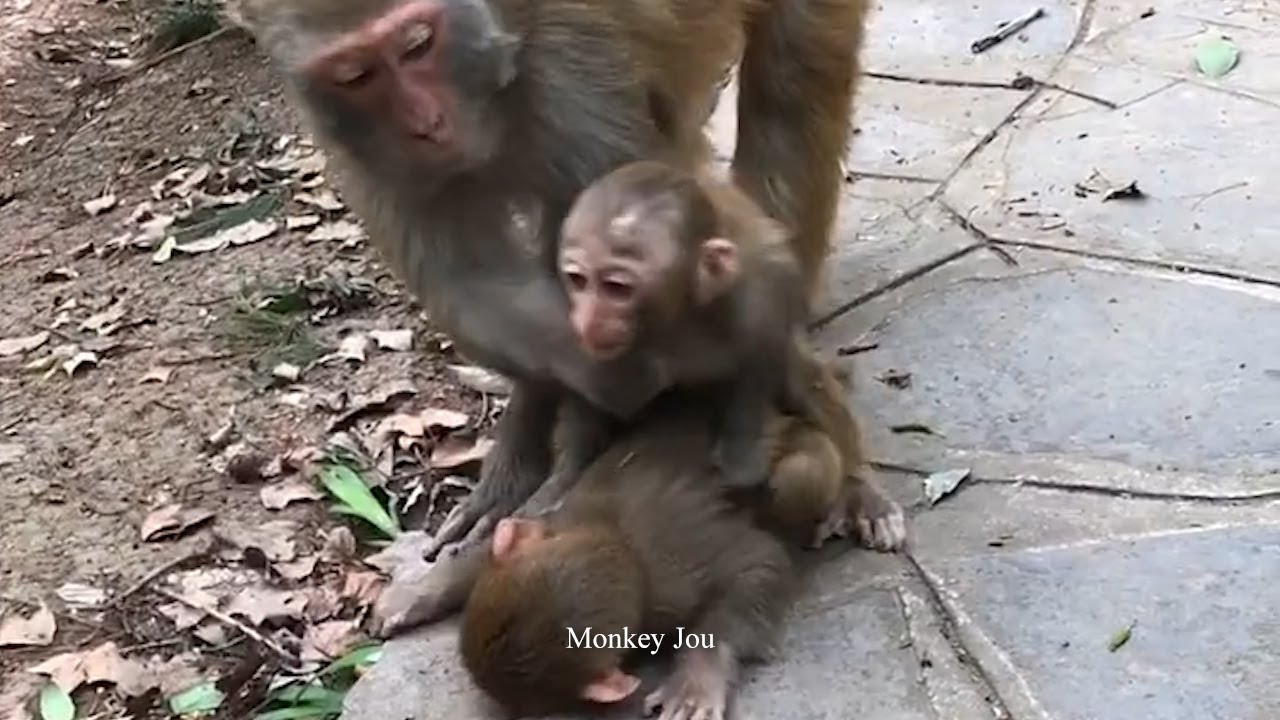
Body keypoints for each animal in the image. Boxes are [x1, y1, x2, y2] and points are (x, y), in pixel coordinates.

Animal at [236, 0, 872, 562]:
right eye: (356, 75)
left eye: (417, 44)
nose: (425, 123)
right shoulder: (362, 141)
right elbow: (477, 285)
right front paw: (568, 420)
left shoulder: (576, 75)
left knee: (792, 84)